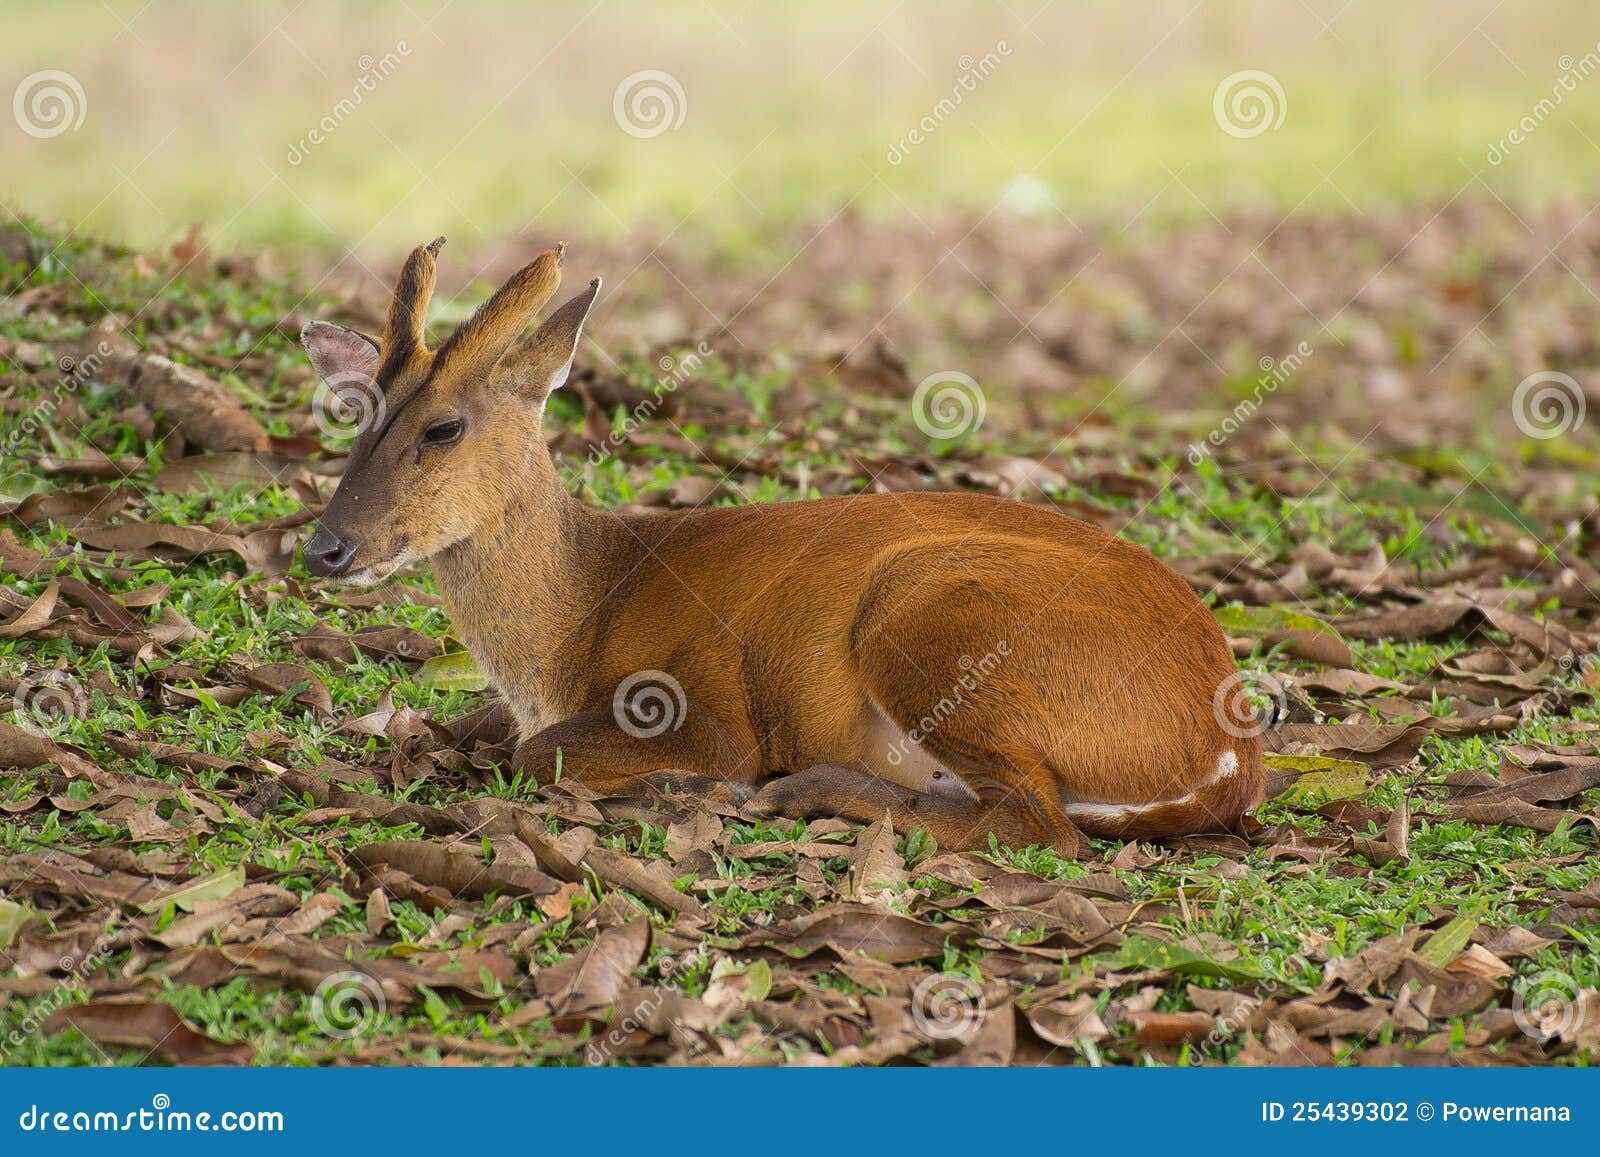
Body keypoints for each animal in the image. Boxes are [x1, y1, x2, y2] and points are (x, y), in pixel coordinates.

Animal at [300, 238, 1265, 857]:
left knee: (1040, 825)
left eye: (443, 427)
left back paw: (795, 790)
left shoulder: (699, 703)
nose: (326, 549)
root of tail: (1227, 758)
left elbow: (538, 754)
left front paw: (698, 790)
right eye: (354, 413)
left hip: (927, 612)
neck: (580, 613)